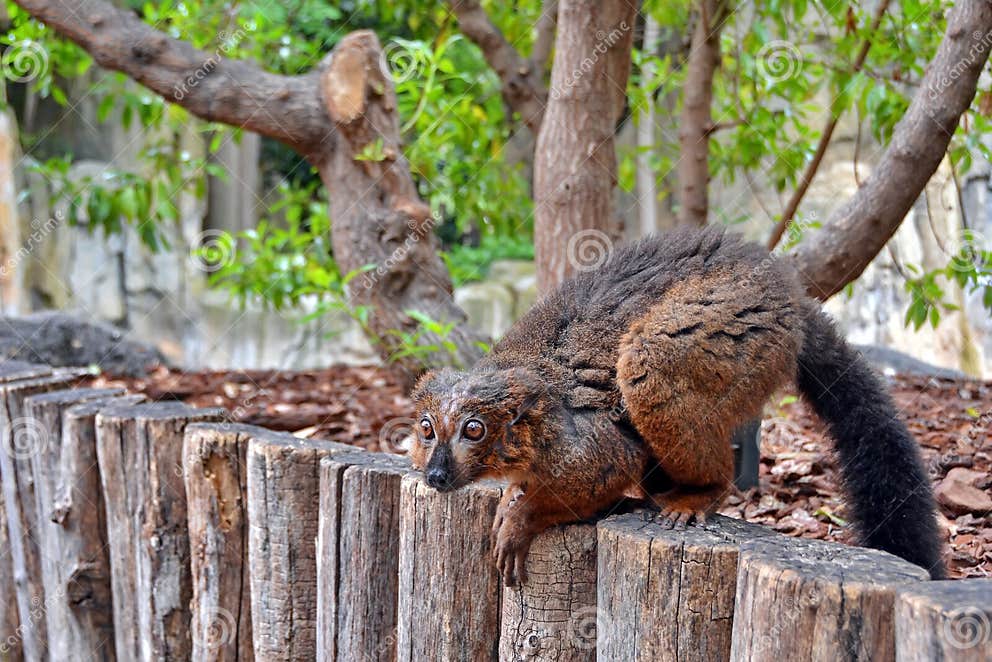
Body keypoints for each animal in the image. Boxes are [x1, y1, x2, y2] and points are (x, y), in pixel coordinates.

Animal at [409, 226, 945, 586]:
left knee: (650, 362)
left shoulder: (579, 442)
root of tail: (789, 296)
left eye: (474, 430)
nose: (435, 475)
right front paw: (511, 499)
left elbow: (606, 470)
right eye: (426, 429)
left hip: (742, 329)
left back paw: (702, 491)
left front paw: (521, 517)